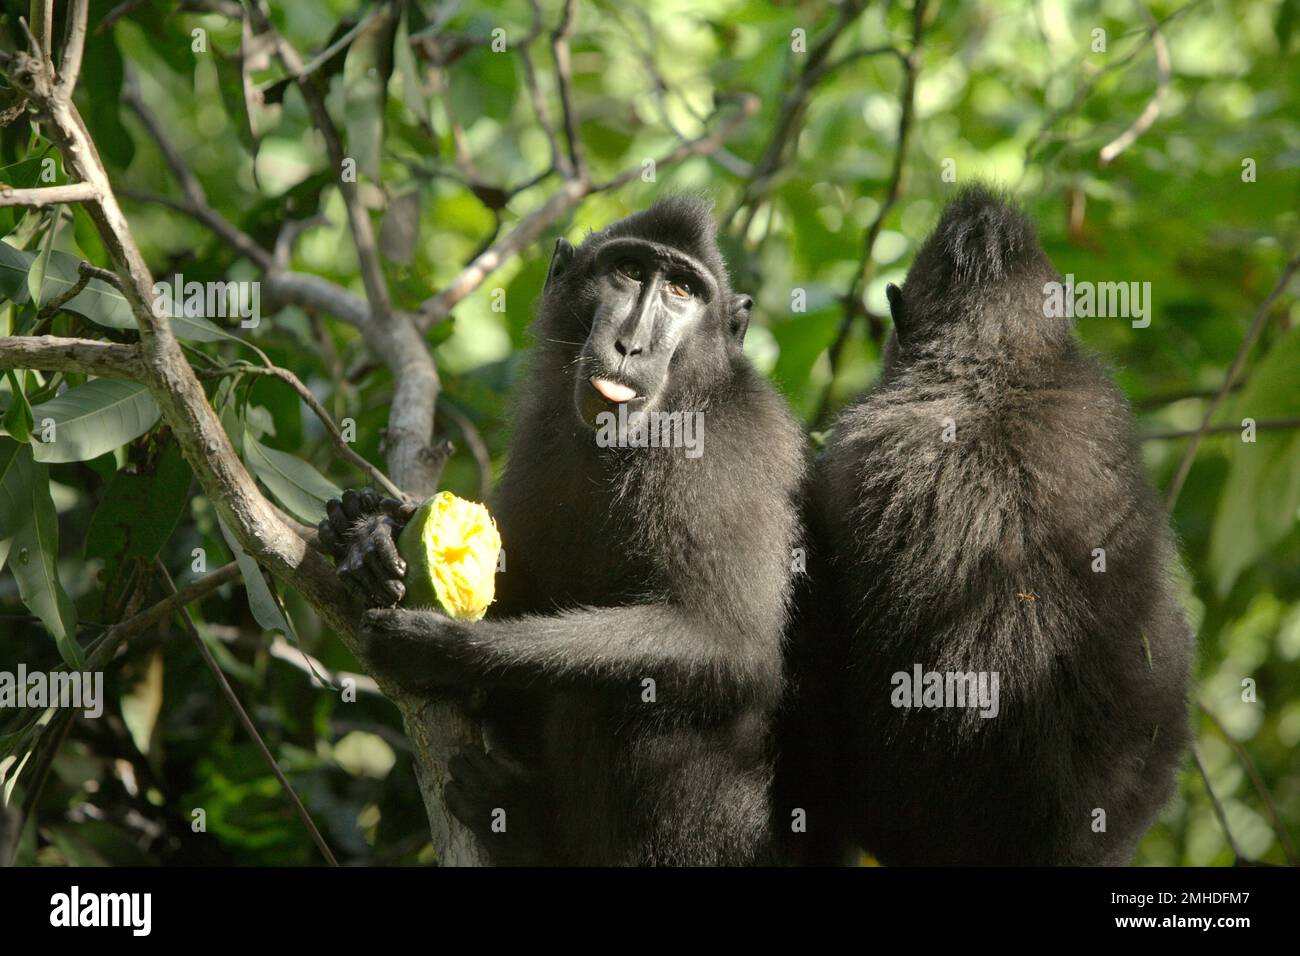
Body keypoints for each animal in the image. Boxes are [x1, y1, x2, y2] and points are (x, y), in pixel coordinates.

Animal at [319, 196, 806, 866]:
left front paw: (445, 647)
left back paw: (529, 827)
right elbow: (518, 571)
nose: (632, 343)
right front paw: (370, 524)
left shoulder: (725, 454)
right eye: (628, 271)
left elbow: (728, 644)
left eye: (683, 290)